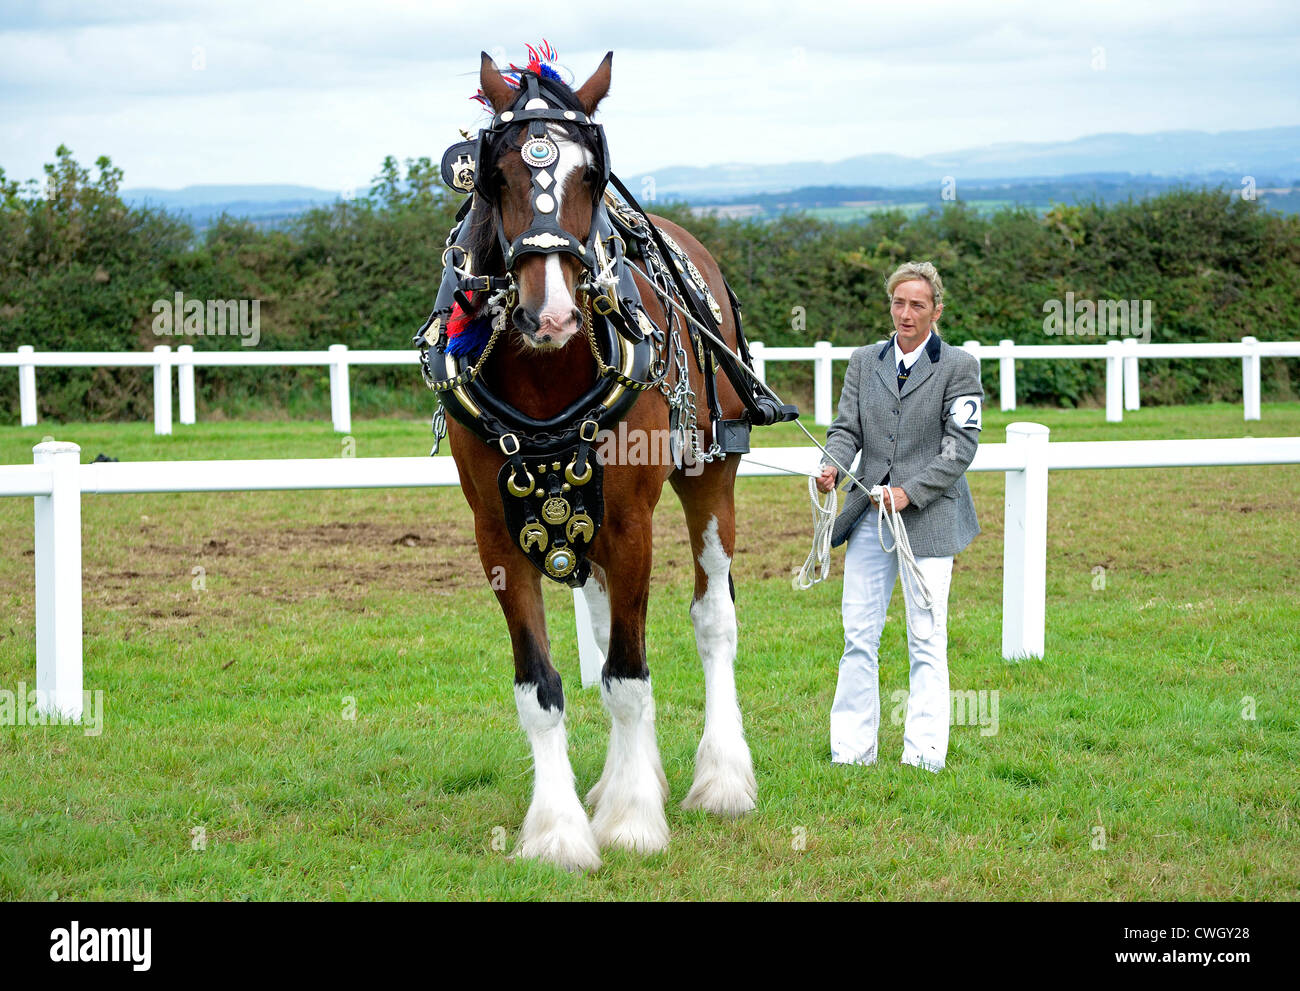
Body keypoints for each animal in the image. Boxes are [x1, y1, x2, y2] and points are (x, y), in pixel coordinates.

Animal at [421, 50, 791, 871]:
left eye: (591, 175)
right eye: (495, 177)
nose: (553, 313)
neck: (549, 373)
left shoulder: (629, 522)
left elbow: (628, 674)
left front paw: (631, 821)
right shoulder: (498, 536)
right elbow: (543, 686)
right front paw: (561, 829)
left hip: (708, 481)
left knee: (712, 619)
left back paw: (720, 777)